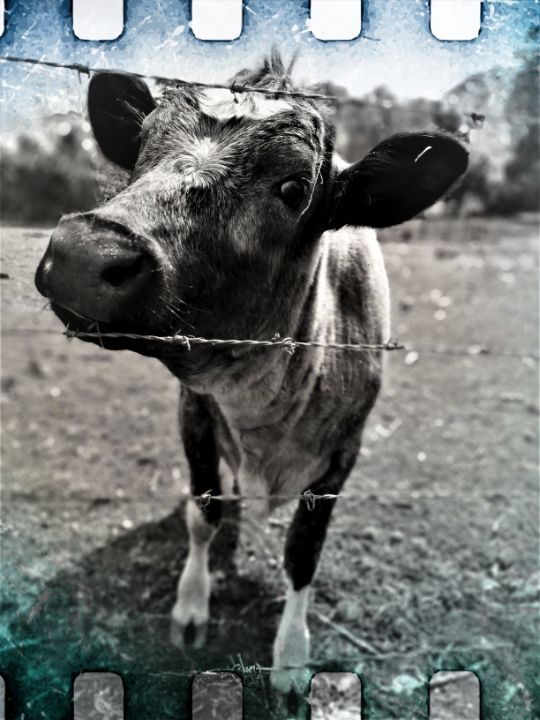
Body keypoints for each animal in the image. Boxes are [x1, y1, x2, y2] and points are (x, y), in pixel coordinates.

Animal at [35, 52, 467, 694]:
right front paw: (192, 605)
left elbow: (303, 555)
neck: (262, 401)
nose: (83, 255)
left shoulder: (345, 450)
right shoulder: (193, 410)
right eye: (141, 151)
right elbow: (204, 512)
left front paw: (291, 656)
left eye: (293, 188)